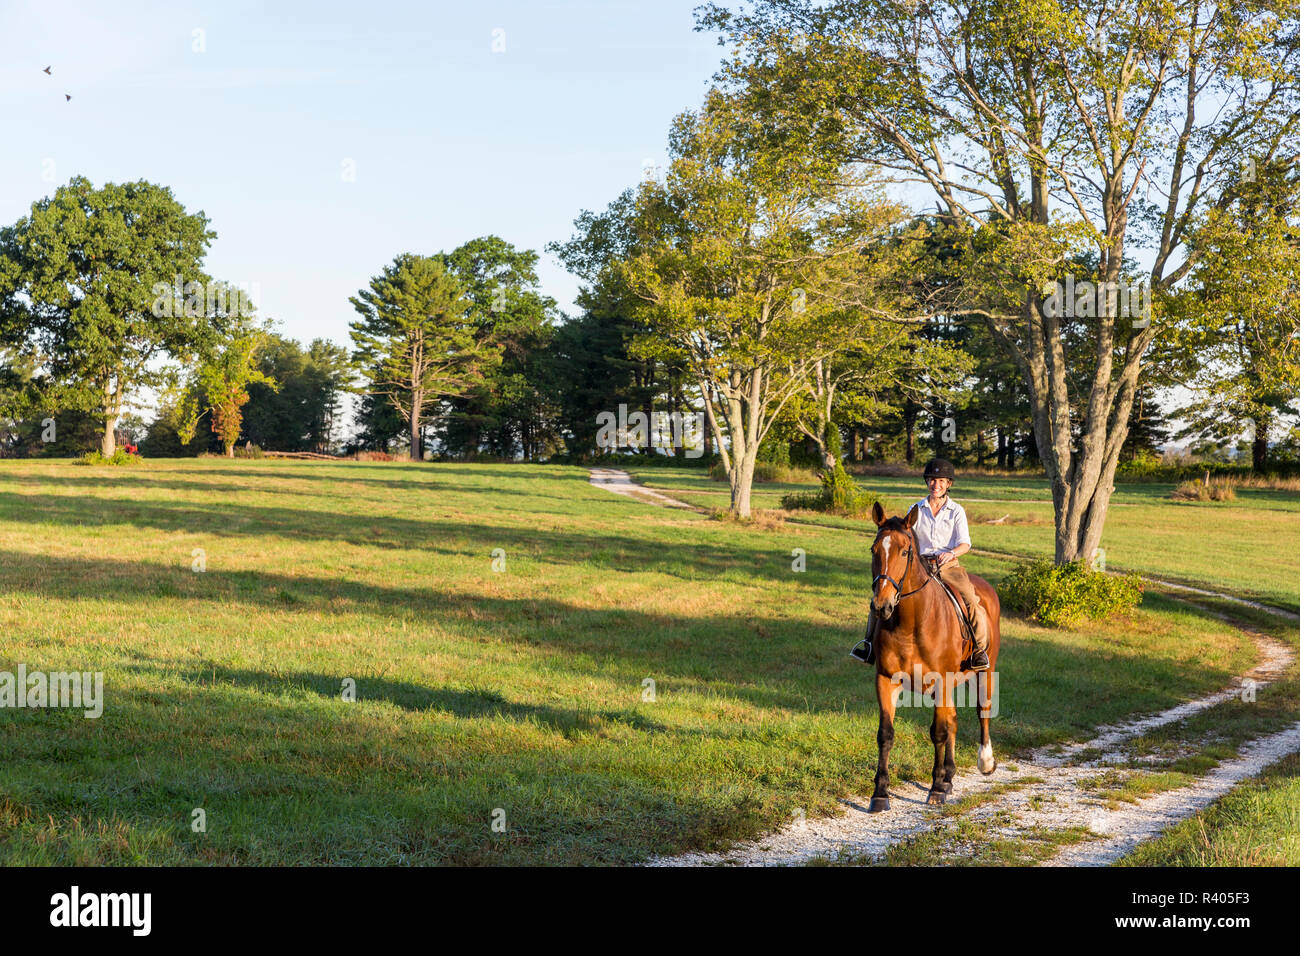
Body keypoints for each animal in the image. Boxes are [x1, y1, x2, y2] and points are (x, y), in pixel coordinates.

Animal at [866, 501, 1001, 812]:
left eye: (905, 551)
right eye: (874, 549)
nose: (881, 605)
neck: (911, 623)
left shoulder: (941, 681)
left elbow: (938, 732)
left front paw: (937, 788)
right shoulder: (886, 679)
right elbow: (886, 734)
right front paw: (880, 793)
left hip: (984, 672)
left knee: (982, 711)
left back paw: (984, 762)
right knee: (953, 719)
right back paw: (949, 775)